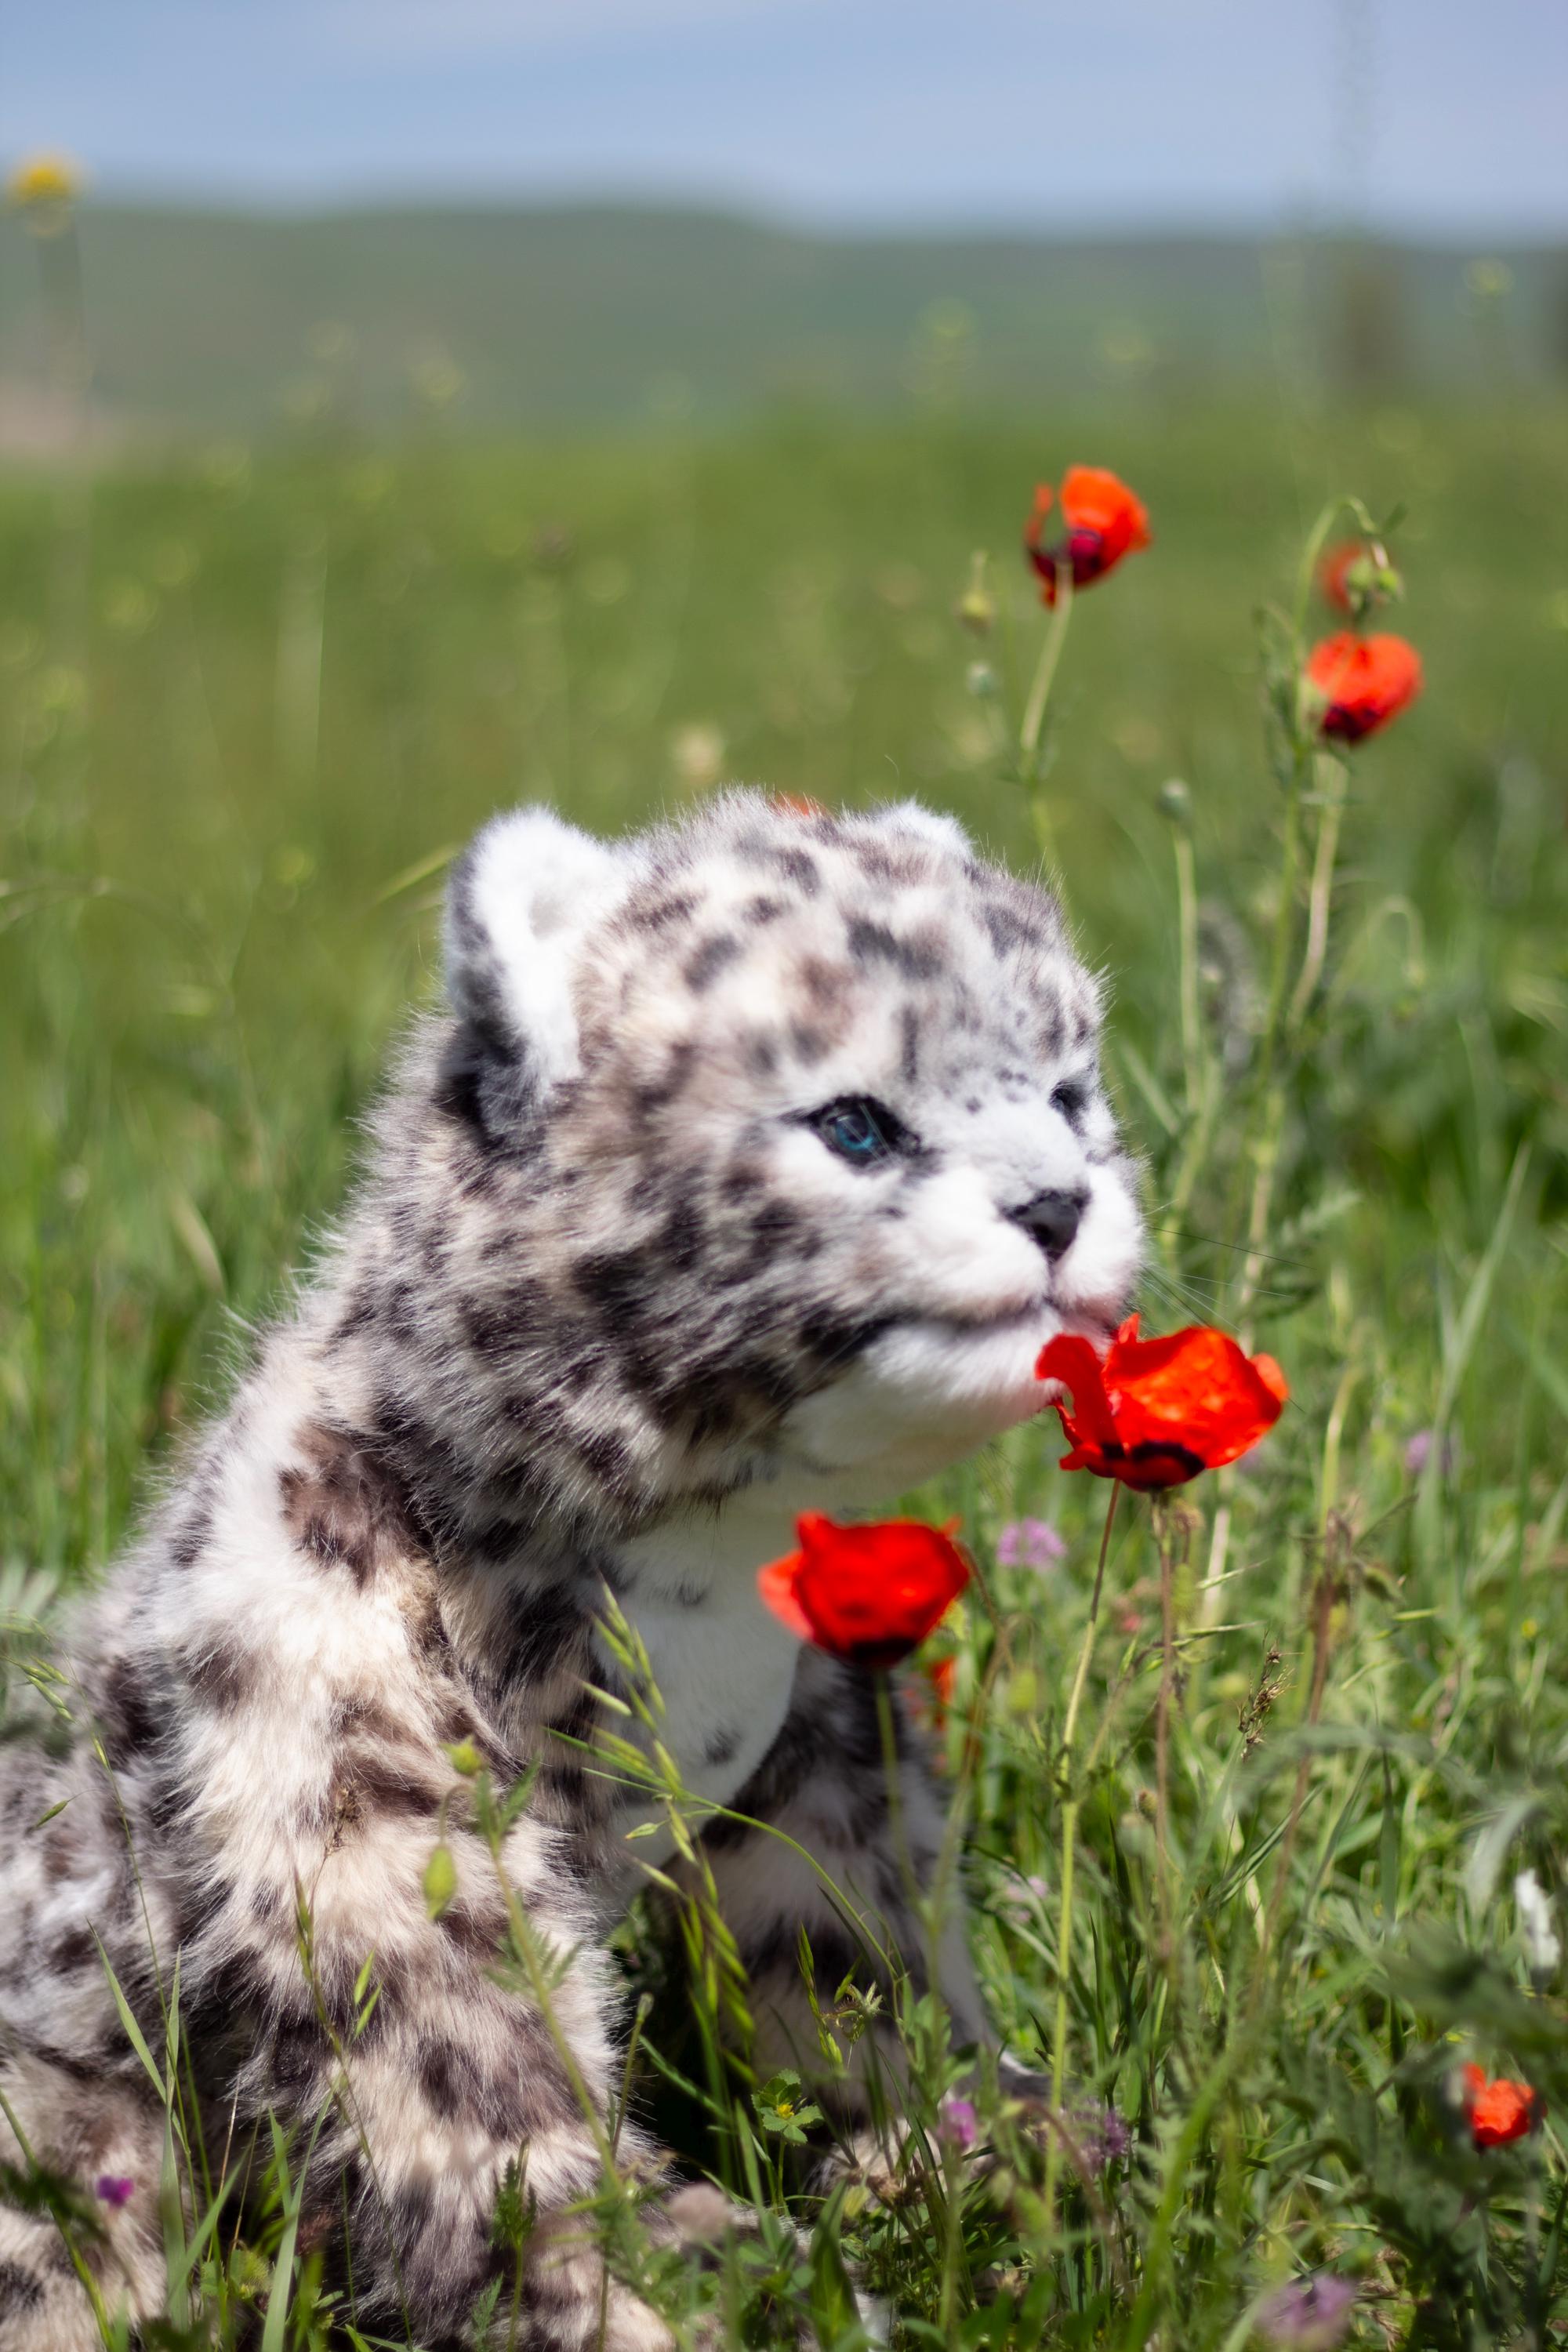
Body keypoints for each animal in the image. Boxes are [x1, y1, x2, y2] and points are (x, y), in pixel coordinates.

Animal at [0, 790, 1141, 2349]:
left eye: (1071, 1091)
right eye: (854, 1122)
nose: (1058, 1202)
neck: (710, 1571)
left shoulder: (829, 1740)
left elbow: (858, 1954)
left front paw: (993, 2140)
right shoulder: (352, 1764)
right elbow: (469, 2060)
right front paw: (668, 2277)